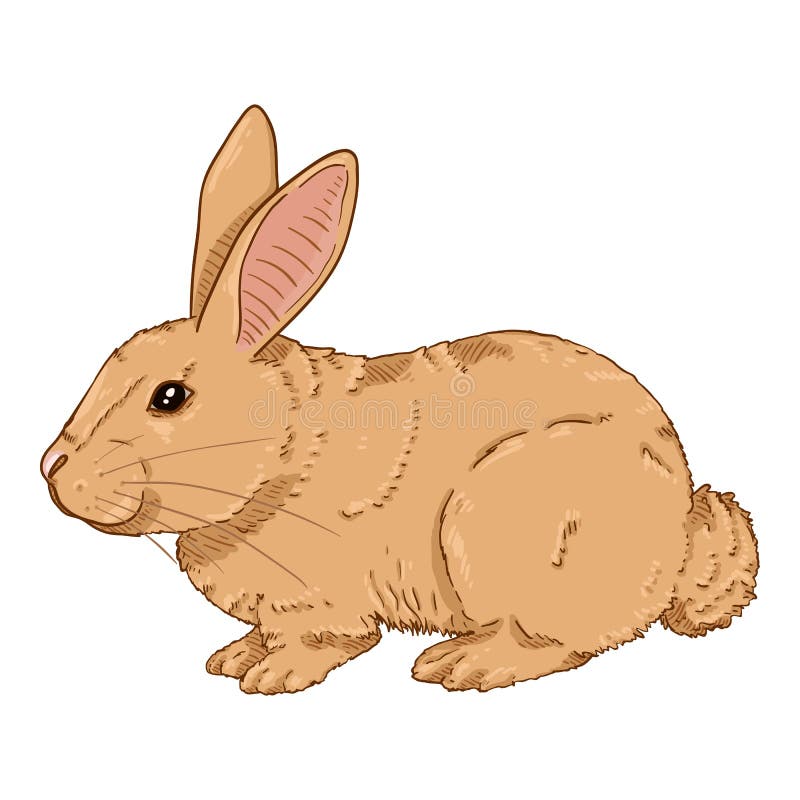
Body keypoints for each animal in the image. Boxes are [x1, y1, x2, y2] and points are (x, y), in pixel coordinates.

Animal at [41, 105, 759, 694]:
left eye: (170, 397)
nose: (53, 472)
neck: (284, 456)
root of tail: (677, 542)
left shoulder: (321, 599)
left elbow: (332, 641)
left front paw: (272, 675)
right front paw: (234, 657)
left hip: (512, 526)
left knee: (561, 640)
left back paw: (465, 663)